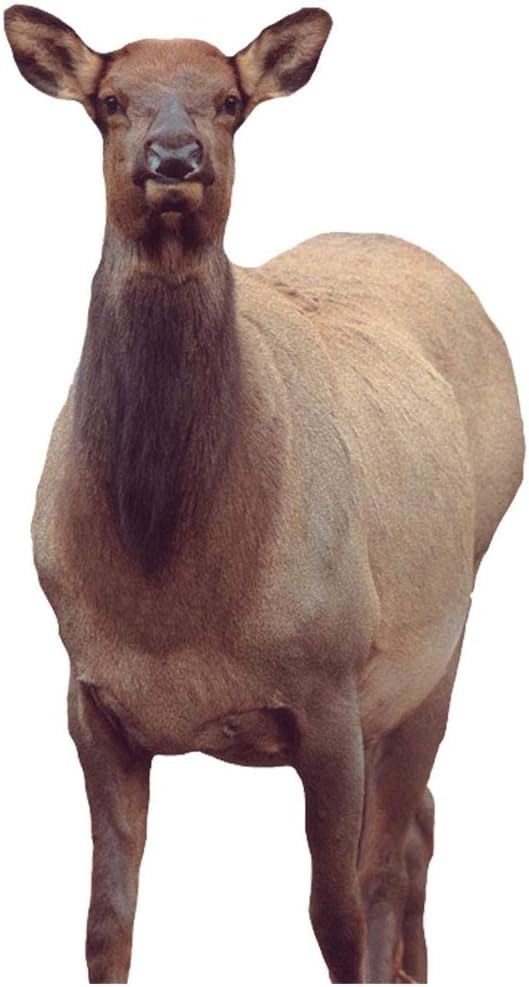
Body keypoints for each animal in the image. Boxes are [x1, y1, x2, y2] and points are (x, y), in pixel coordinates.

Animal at [4, 4, 524, 984]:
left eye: (231, 101)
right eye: (110, 100)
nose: (175, 159)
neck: (170, 600)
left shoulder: (328, 688)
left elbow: (336, 916)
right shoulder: (88, 697)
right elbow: (104, 924)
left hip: (436, 644)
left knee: (391, 851)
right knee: (422, 820)